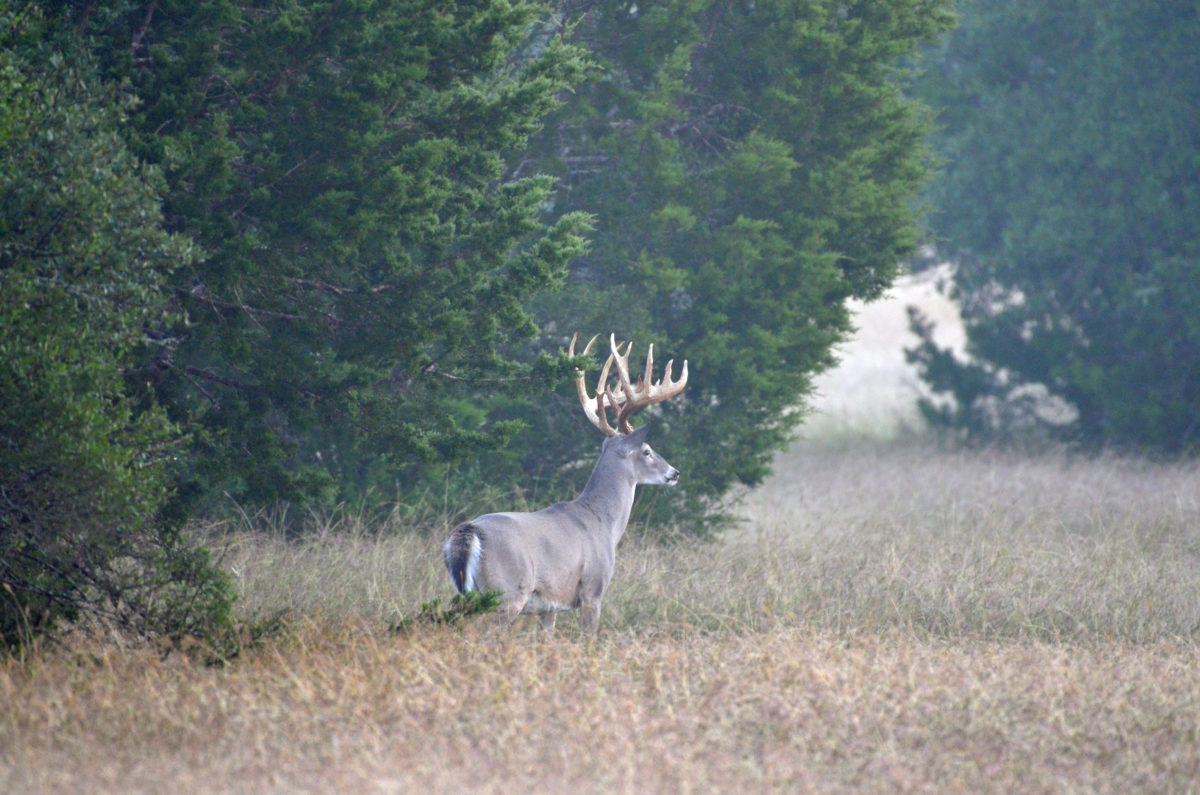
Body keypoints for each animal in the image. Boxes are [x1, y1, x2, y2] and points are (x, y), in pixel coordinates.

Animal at [442, 333, 688, 634]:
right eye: (647, 451)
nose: (674, 472)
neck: (603, 522)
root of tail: (467, 533)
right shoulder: (594, 588)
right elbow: (589, 637)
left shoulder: (550, 605)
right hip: (507, 592)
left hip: (468, 595)